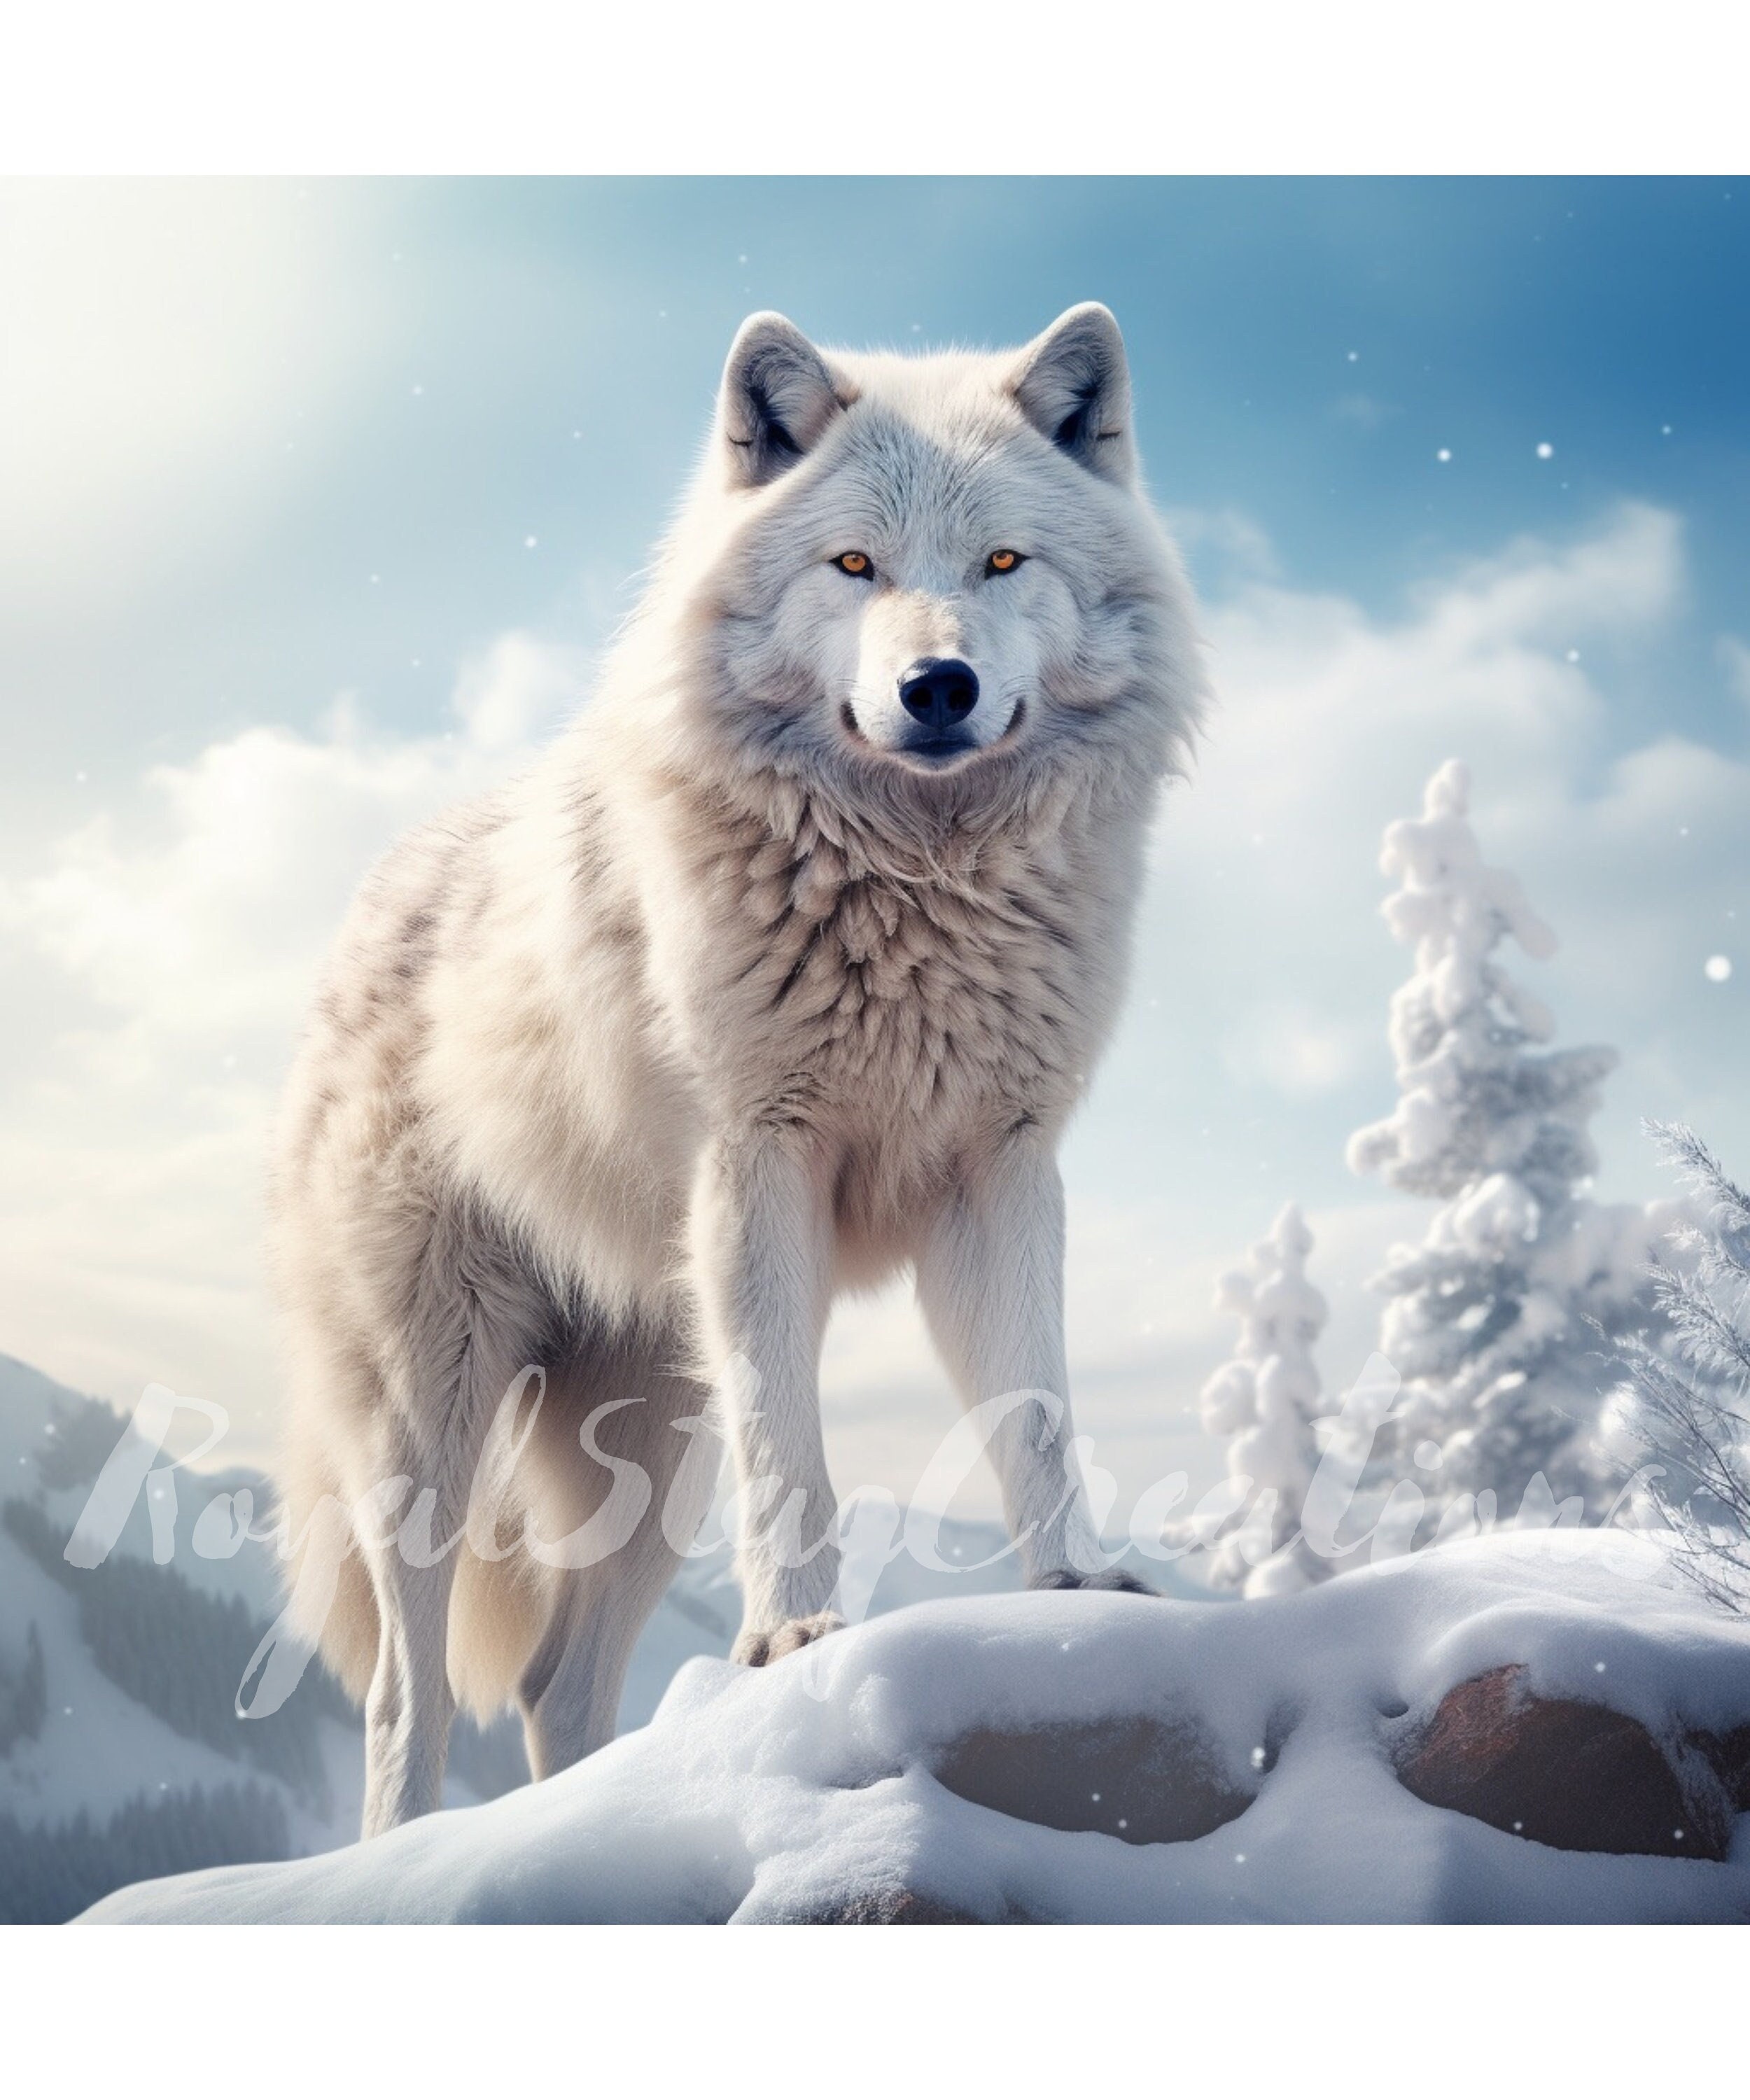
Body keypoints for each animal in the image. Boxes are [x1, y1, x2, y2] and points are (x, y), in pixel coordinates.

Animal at [269, 303, 1205, 1835]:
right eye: (854, 566)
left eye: (1004, 563)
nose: (935, 685)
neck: (914, 887)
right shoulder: (760, 1170)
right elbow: (795, 1447)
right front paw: (795, 1643)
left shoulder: (1000, 1174)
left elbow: (1036, 1412)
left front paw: (1077, 1590)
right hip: (431, 1414)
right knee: (409, 1696)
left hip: (650, 1440)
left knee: (554, 1684)